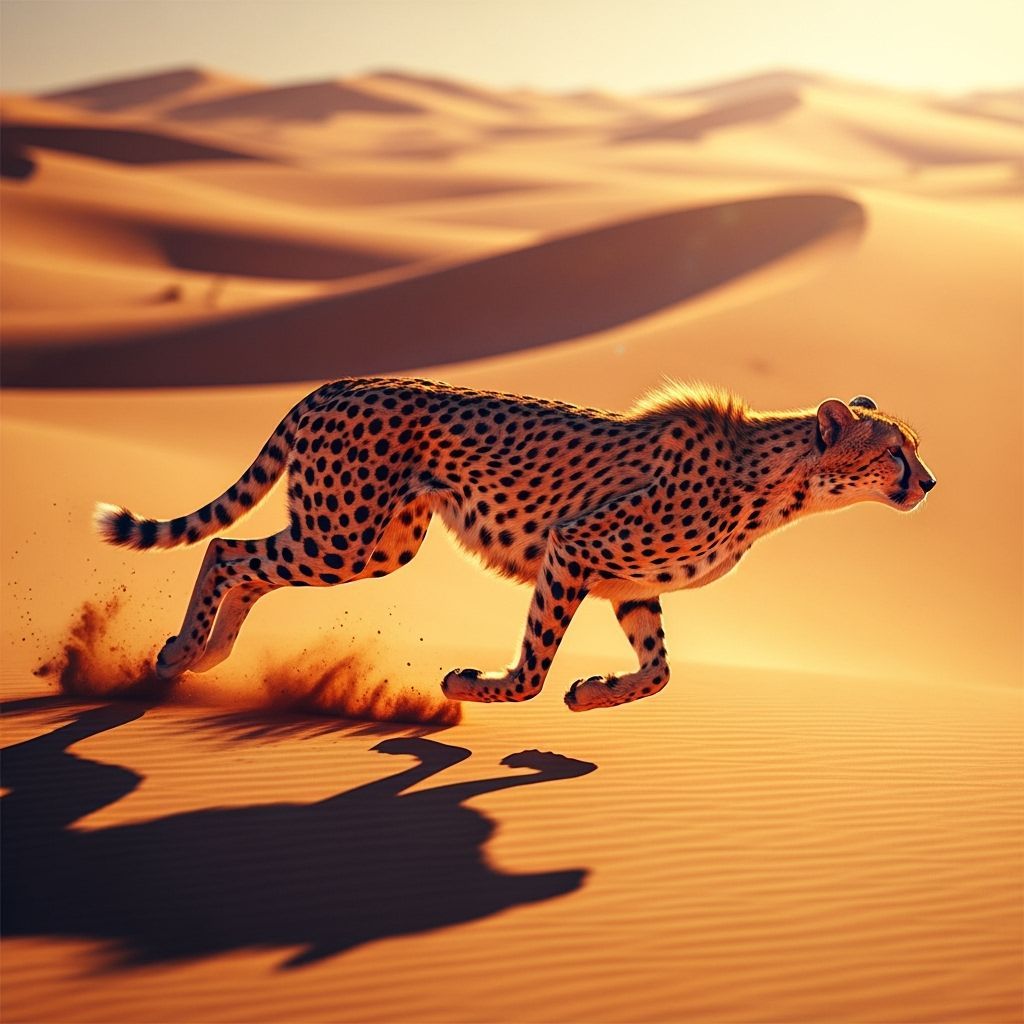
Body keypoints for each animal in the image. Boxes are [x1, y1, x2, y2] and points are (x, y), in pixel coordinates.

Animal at [95, 376, 935, 712]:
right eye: (895, 450)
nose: (928, 483)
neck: (781, 483)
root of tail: (335, 383)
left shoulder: (631, 583)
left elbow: (659, 672)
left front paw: (593, 694)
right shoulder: (575, 543)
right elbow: (532, 666)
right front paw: (470, 685)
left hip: (374, 543)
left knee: (247, 562)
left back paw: (204, 656)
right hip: (344, 535)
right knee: (228, 550)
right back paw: (182, 652)